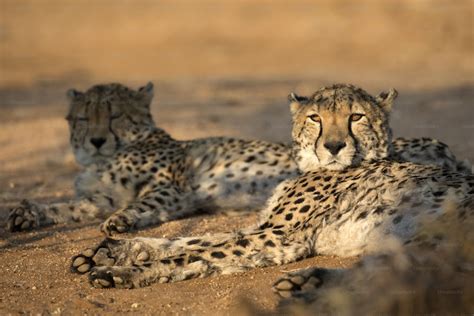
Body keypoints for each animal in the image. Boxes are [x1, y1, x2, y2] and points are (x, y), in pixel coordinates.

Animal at [7, 81, 466, 235]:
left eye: (116, 114)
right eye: (85, 116)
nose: (98, 140)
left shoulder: (173, 188)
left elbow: (143, 202)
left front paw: (121, 221)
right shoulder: (97, 196)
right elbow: (67, 207)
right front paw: (26, 214)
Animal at [68, 83, 472, 288]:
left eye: (356, 117)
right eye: (315, 118)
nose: (334, 146)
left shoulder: (280, 237)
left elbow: (193, 252)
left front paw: (124, 272)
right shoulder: (268, 232)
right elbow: (188, 243)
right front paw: (109, 251)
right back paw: (307, 283)